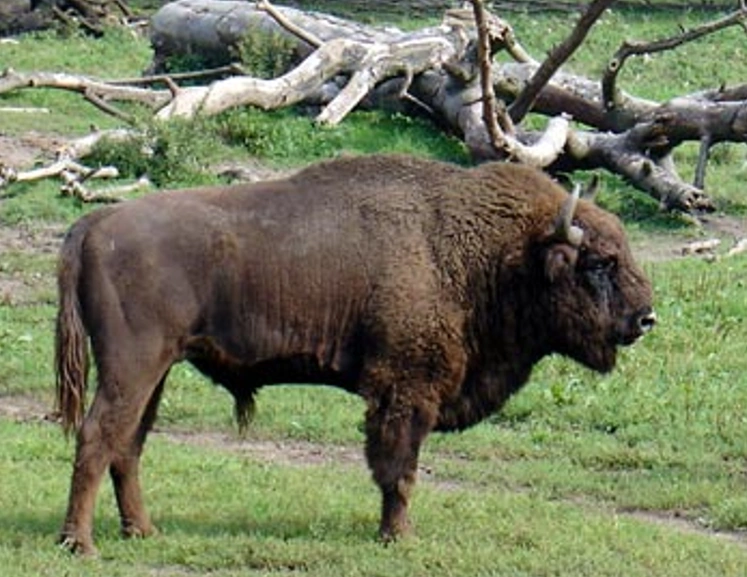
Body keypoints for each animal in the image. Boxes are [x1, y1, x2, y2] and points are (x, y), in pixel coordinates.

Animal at [55, 154, 655, 554]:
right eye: (598, 264)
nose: (646, 318)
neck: (493, 255)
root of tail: (96, 223)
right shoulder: (404, 391)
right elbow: (399, 470)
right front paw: (399, 537)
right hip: (131, 367)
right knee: (98, 438)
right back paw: (80, 544)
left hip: (155, 370)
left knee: (128, 446)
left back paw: (141, 531)